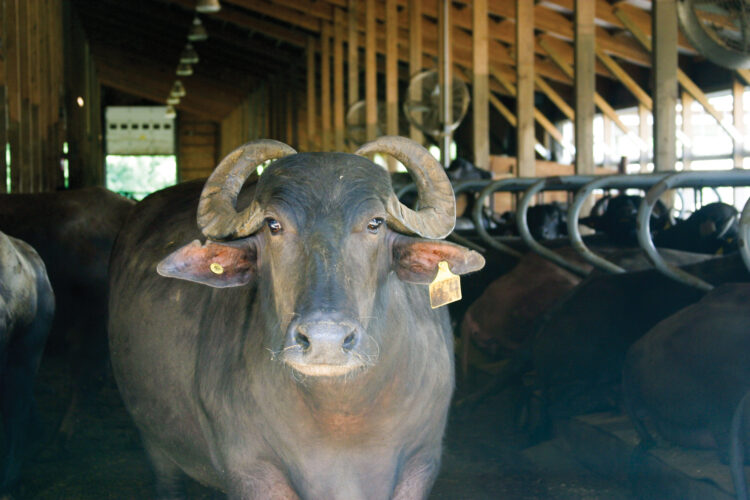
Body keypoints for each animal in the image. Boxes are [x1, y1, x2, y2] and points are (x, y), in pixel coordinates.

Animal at [109, 137, 484, 498]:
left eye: (375, 223)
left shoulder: (421, 464)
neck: (342, 414)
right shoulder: (252, 471)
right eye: (273, 225)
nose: (325, 341)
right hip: (156, 444)